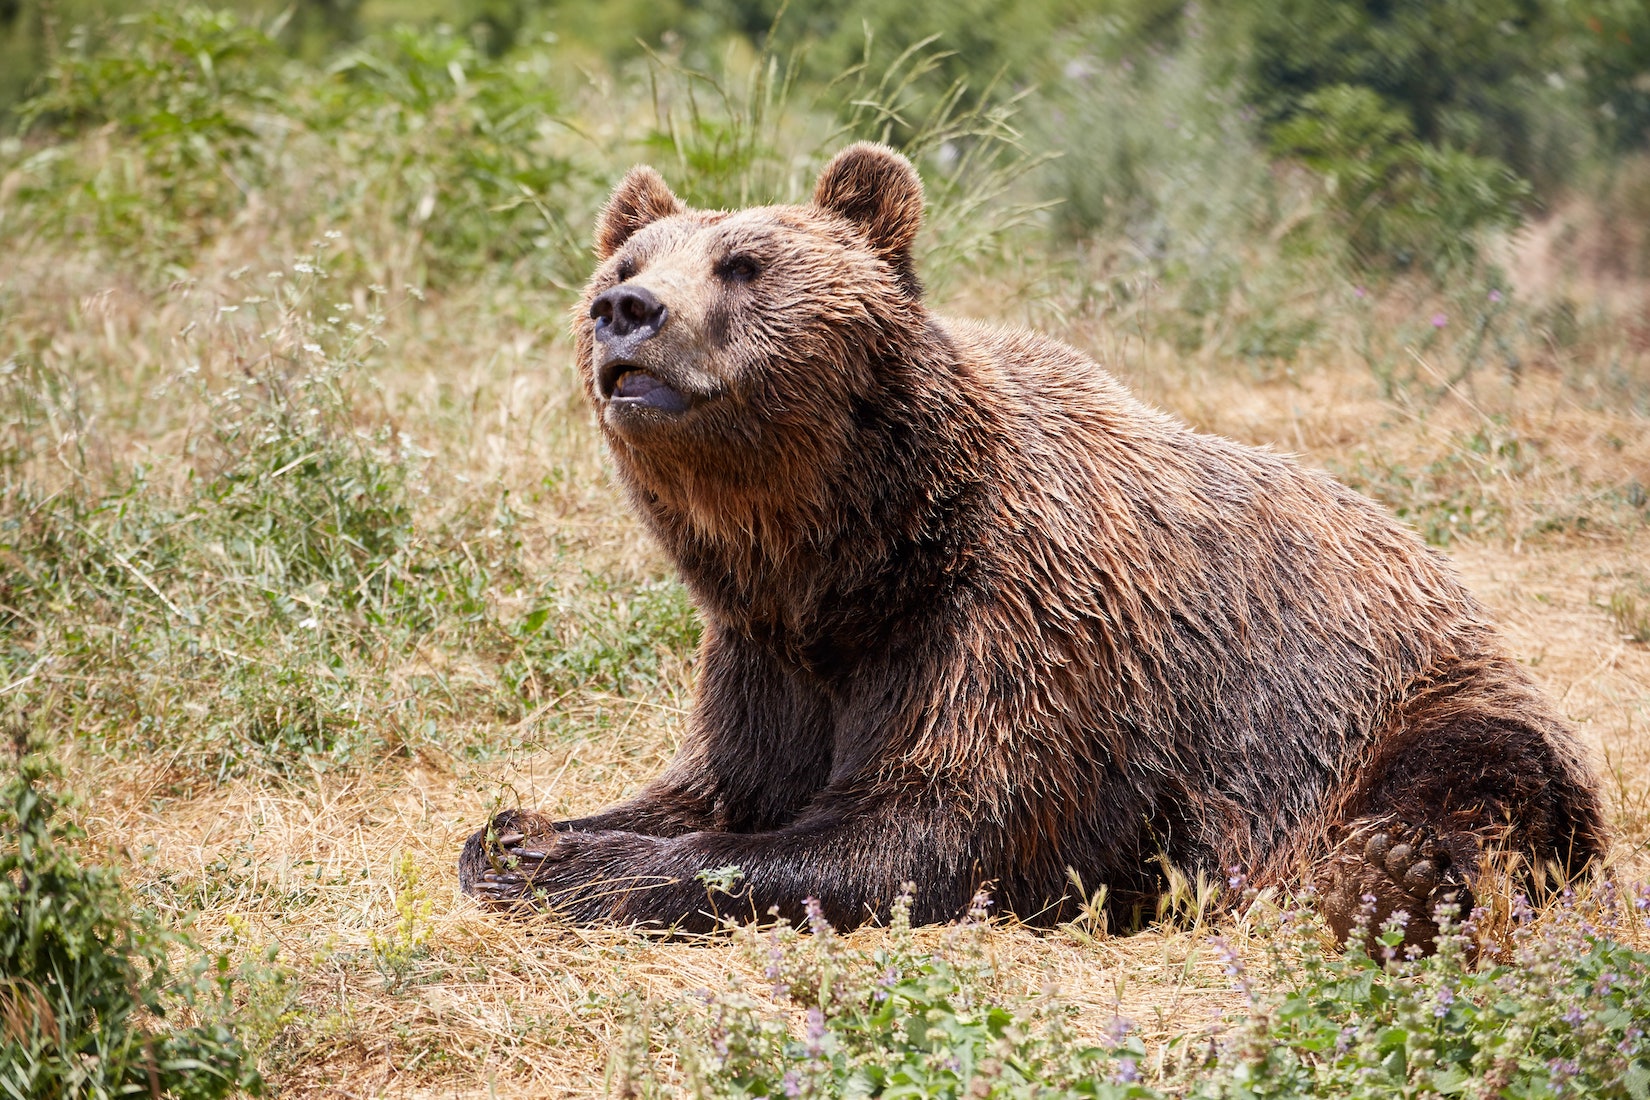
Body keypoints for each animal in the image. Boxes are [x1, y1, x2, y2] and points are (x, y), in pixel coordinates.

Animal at [458, 142, 1607, 950]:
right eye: (625, 260)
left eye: (744, 264)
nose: (627, 312)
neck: (857, 555)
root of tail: (1445, 568)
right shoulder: (767, 651)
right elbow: (714, 782)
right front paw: (520, 832)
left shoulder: (1019, 622)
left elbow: (918, 831)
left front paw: (569, 864)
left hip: (1396, 696)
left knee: (1480, 779)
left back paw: (1391, 879)